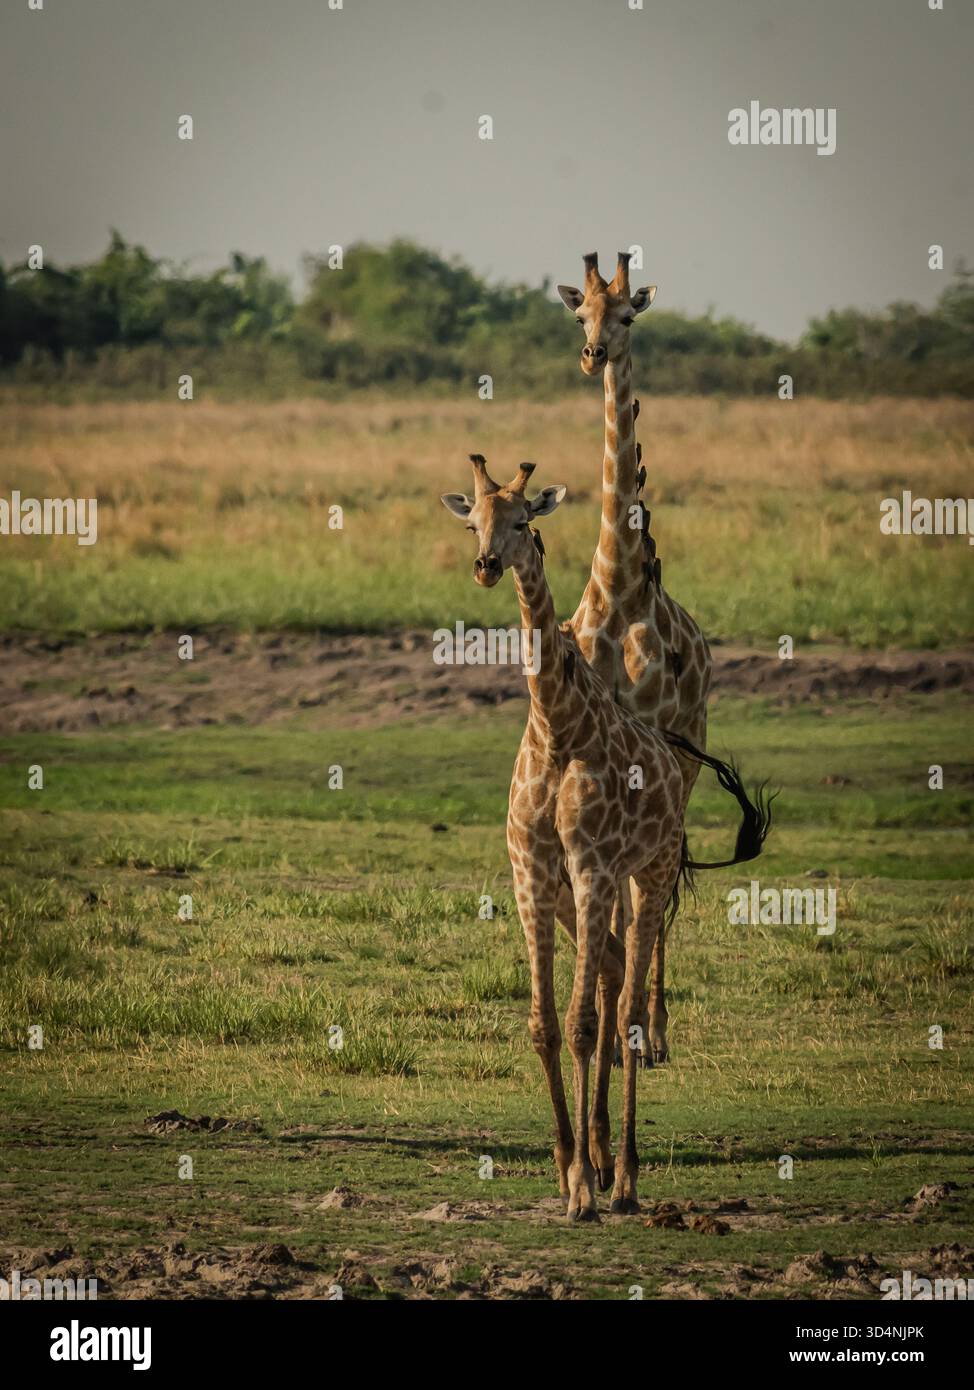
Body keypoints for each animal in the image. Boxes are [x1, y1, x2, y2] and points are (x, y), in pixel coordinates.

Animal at [441, 453, 770, 1219]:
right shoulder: (533, 873)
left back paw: (623, 1177)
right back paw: (599, 1159)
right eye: (474, 522)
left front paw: (586, 1190)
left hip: (650, 871)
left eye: (523, 520)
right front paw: (567, 1170)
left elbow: (586, 1021)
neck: (558, 726)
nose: (486, 565)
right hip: (583, 889)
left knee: (627, 1008)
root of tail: (675, 755)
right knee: (617, 971)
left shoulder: (591, 865)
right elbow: (545, 1025)